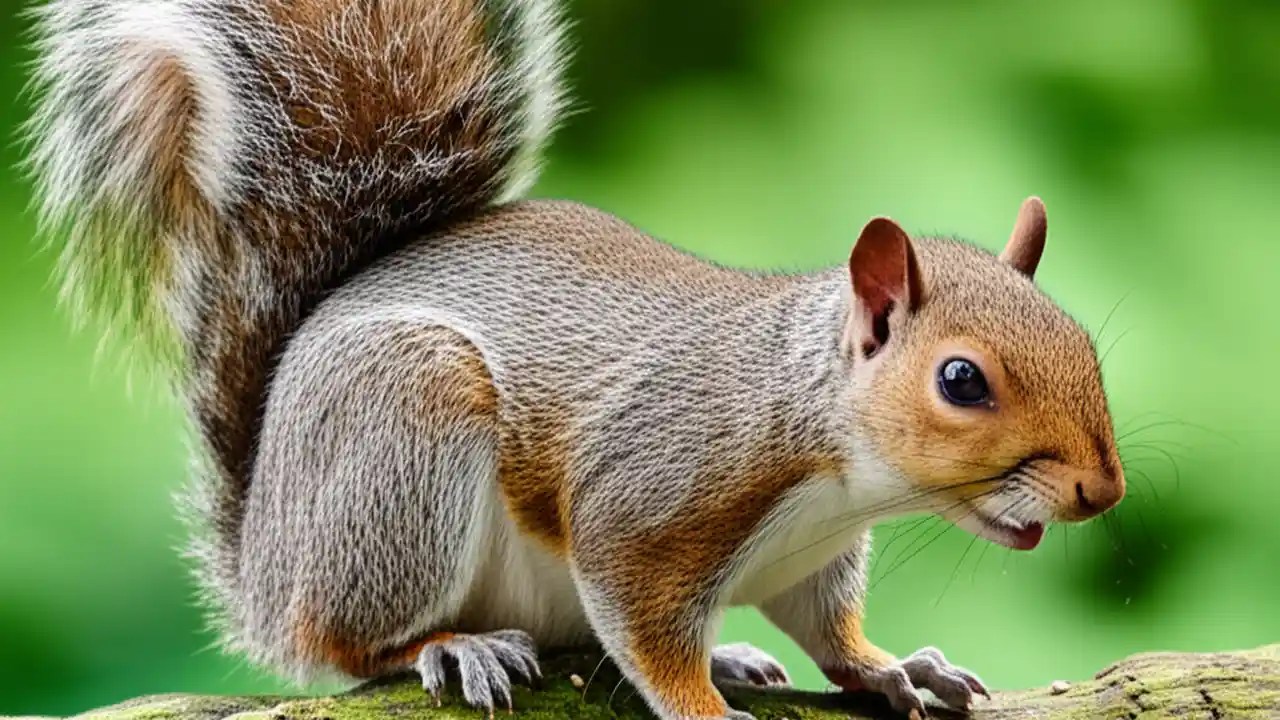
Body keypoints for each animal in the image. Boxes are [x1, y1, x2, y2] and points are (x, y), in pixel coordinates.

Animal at [27, 0, 1125, 718]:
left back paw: (730, 653)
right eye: (960, 380)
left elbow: (828, 631)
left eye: (1084, 343)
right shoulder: (644, 506)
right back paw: (452, 646)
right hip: (400, 445)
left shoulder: (809, 561)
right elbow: (647, 631)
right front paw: (703, 706)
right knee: (345, 642)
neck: (833, 467)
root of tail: (261, 554)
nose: (1101, 491)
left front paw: (893, 667)